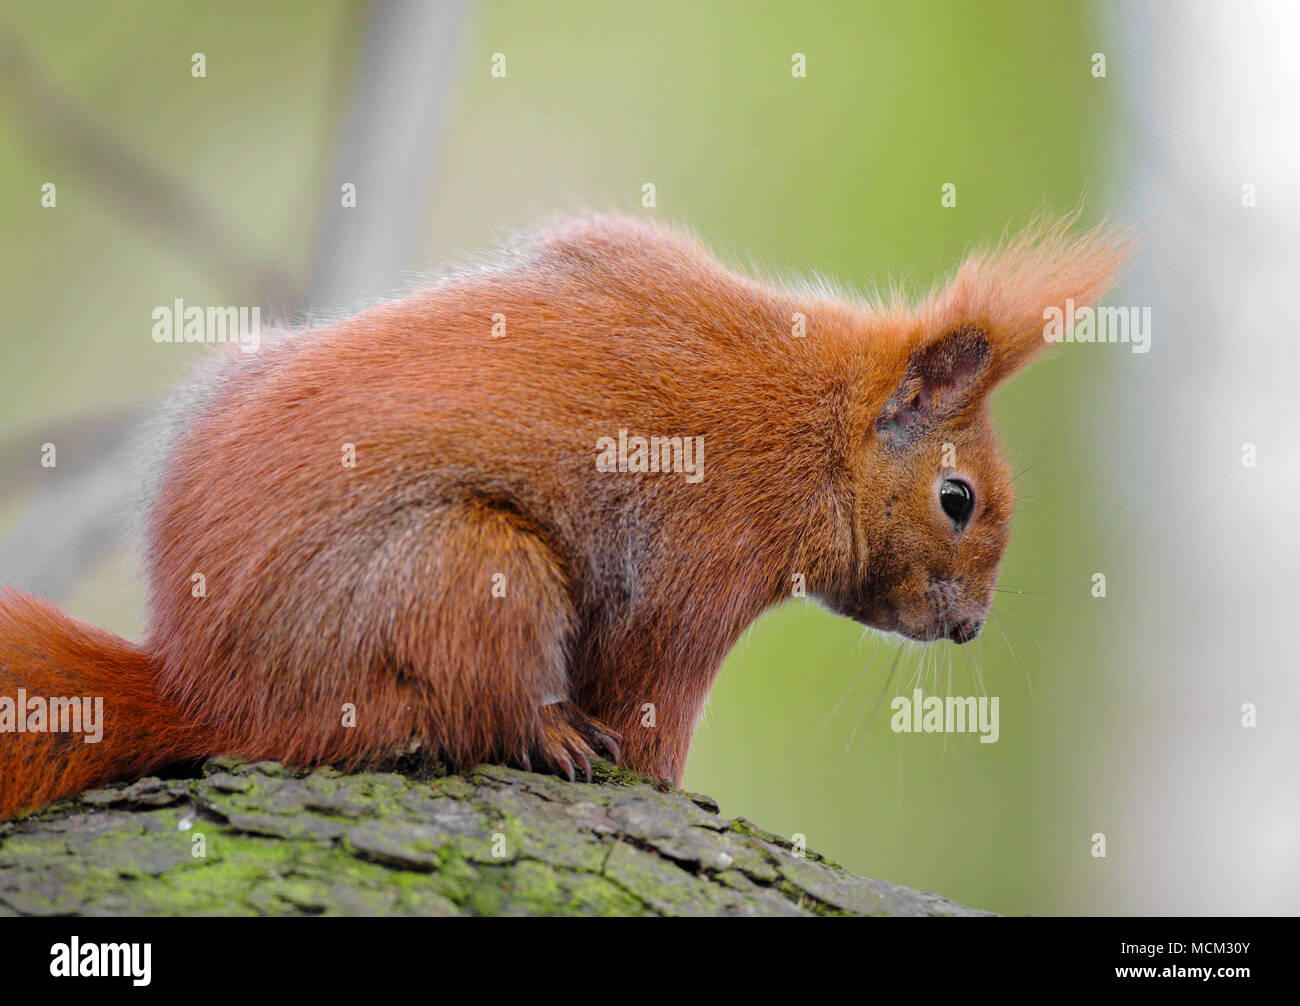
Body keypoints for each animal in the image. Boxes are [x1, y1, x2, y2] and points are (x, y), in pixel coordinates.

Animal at [0, 212, 1131, 820]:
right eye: (957, 500)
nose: (968, 627)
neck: (816, 424)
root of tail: (205, 682)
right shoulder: (700, 569)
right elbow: (652, 698)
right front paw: (664, 784)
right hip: (465, 570)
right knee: (462, 708)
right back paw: (546, 734)